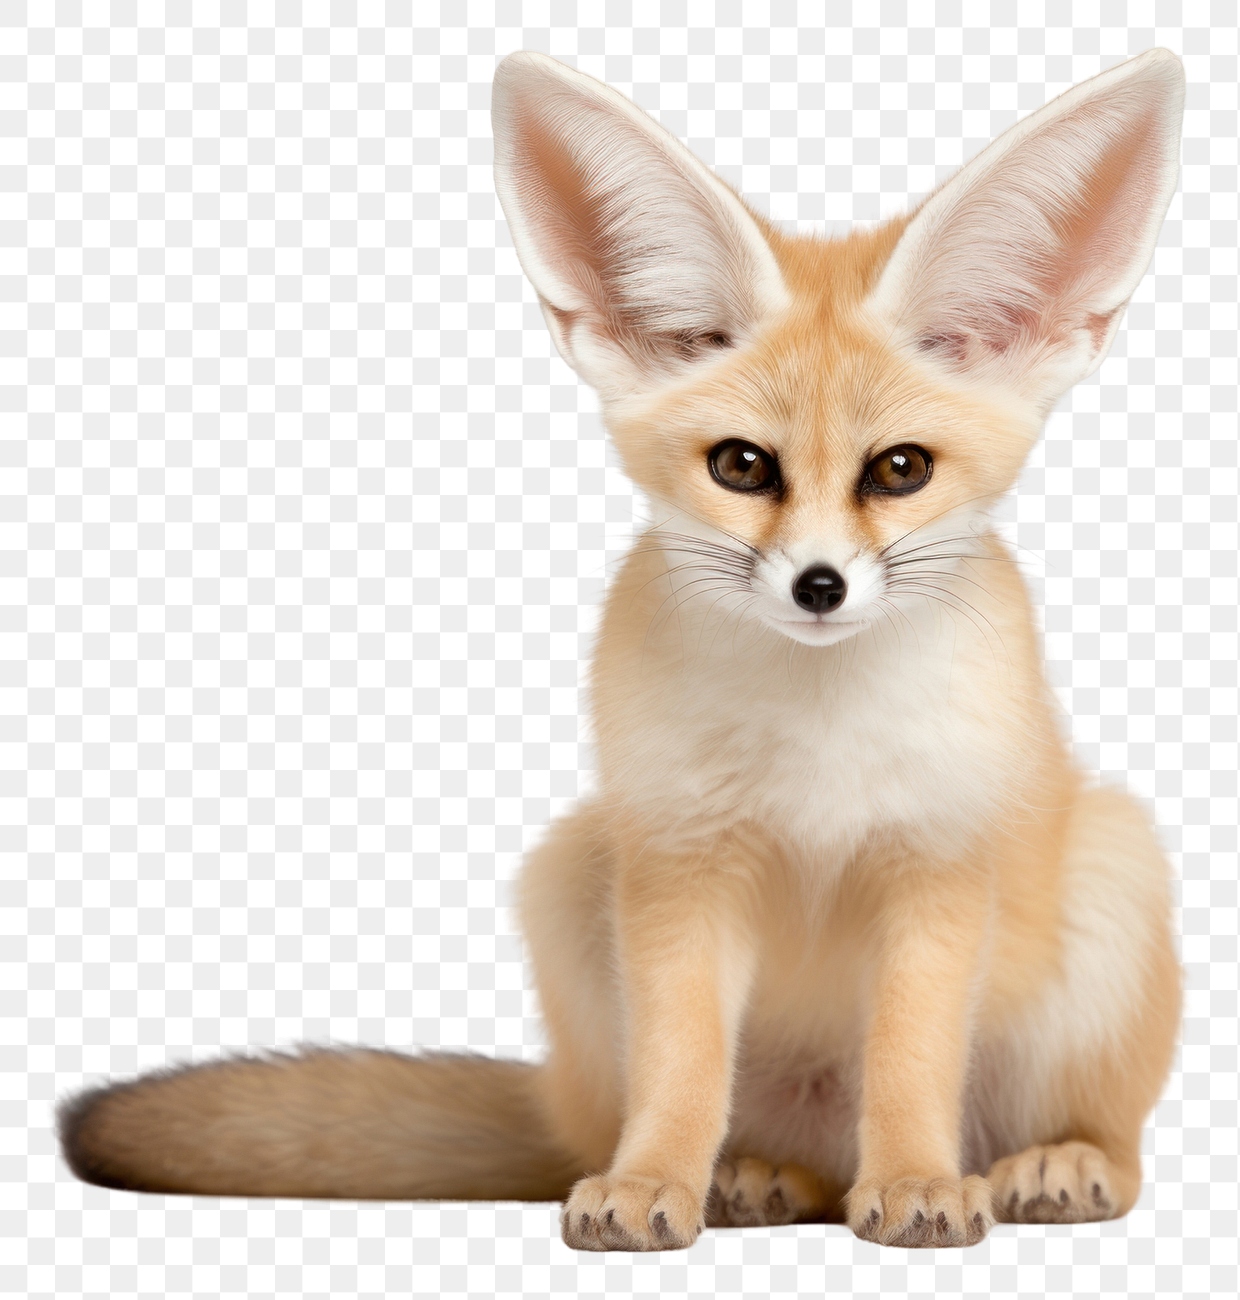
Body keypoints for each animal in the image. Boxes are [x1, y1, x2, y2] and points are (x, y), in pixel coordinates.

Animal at [58, 48, 1186, 1252]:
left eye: (899, 470)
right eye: (742, 465)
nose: (819, 586)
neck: (818, 742)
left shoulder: (936, 867)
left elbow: (912, 1063)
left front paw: (922, 1181)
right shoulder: (680, 861)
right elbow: (681, 1069)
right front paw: (651, 1184)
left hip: (1117, 867)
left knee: (1099, 1138)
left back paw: (1054, 1162)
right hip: (570, 877)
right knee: (700, 1132)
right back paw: (748, 1176)